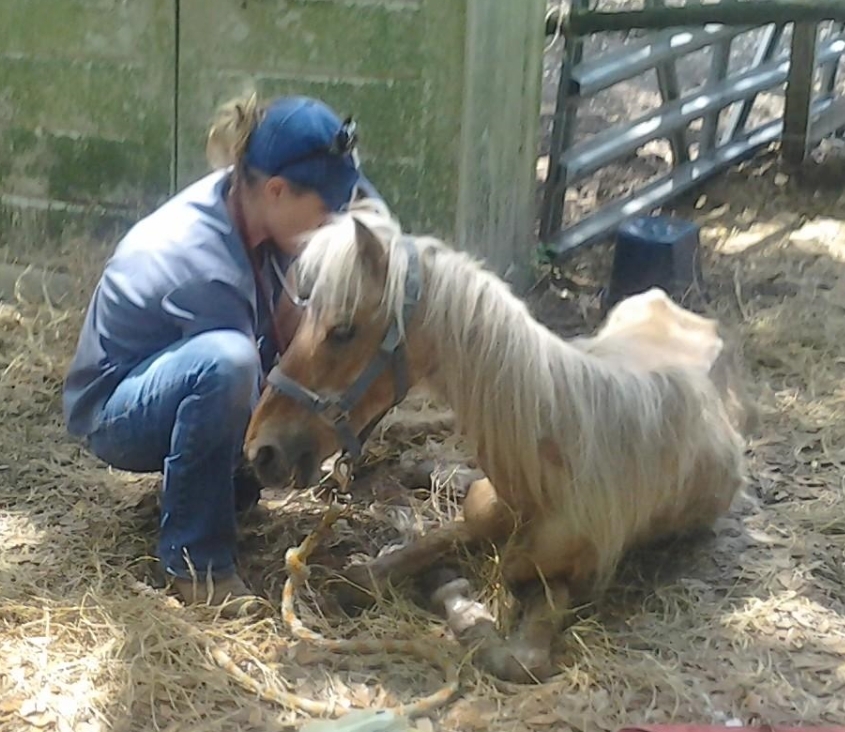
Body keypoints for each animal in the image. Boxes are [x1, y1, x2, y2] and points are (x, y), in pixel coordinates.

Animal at [243, 198, 753, 682]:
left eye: (342, 331)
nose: (260, 450)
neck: (549, 462)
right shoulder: (484, 509)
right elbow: (384, 567)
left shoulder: (567, 579)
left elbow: (517, 658)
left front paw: (456, 595)